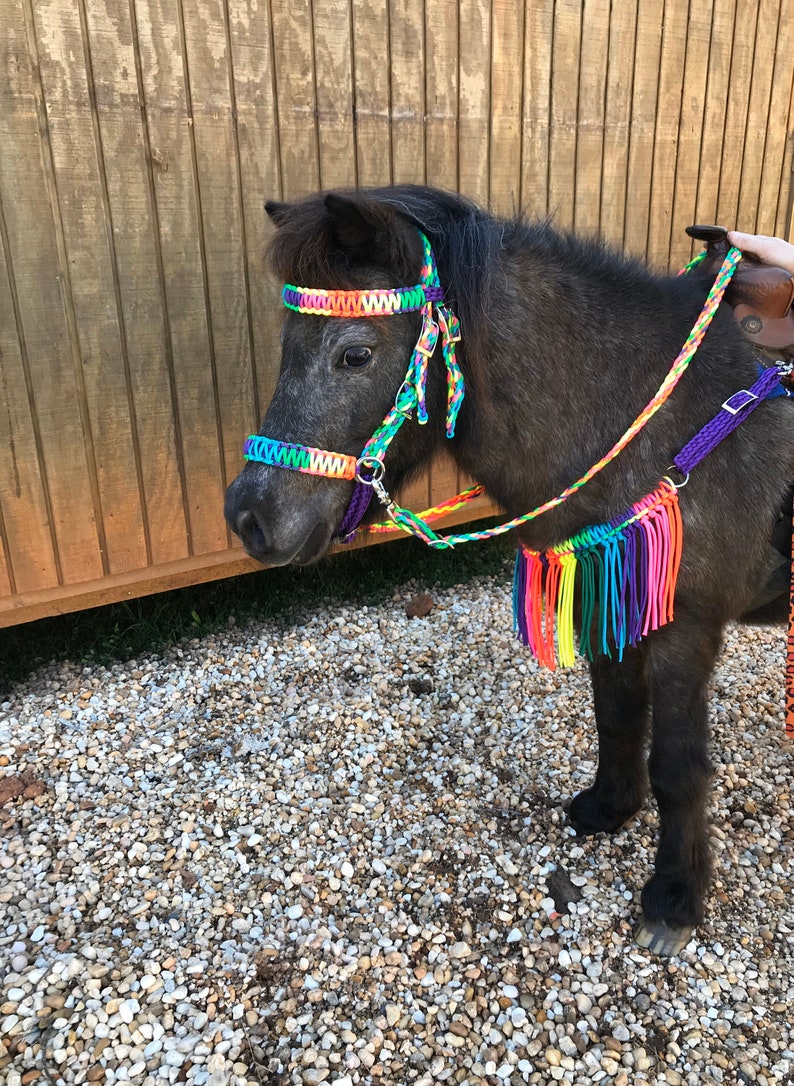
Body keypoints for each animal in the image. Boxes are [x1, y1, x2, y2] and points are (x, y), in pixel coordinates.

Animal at [224, 185, 794, 955]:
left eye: (355, 354)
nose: (249, 517)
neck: (666, 419)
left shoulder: (687, 625)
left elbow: (678, 765)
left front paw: (675, 898)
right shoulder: (612, 594)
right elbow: (617, 713)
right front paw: (609, 809)